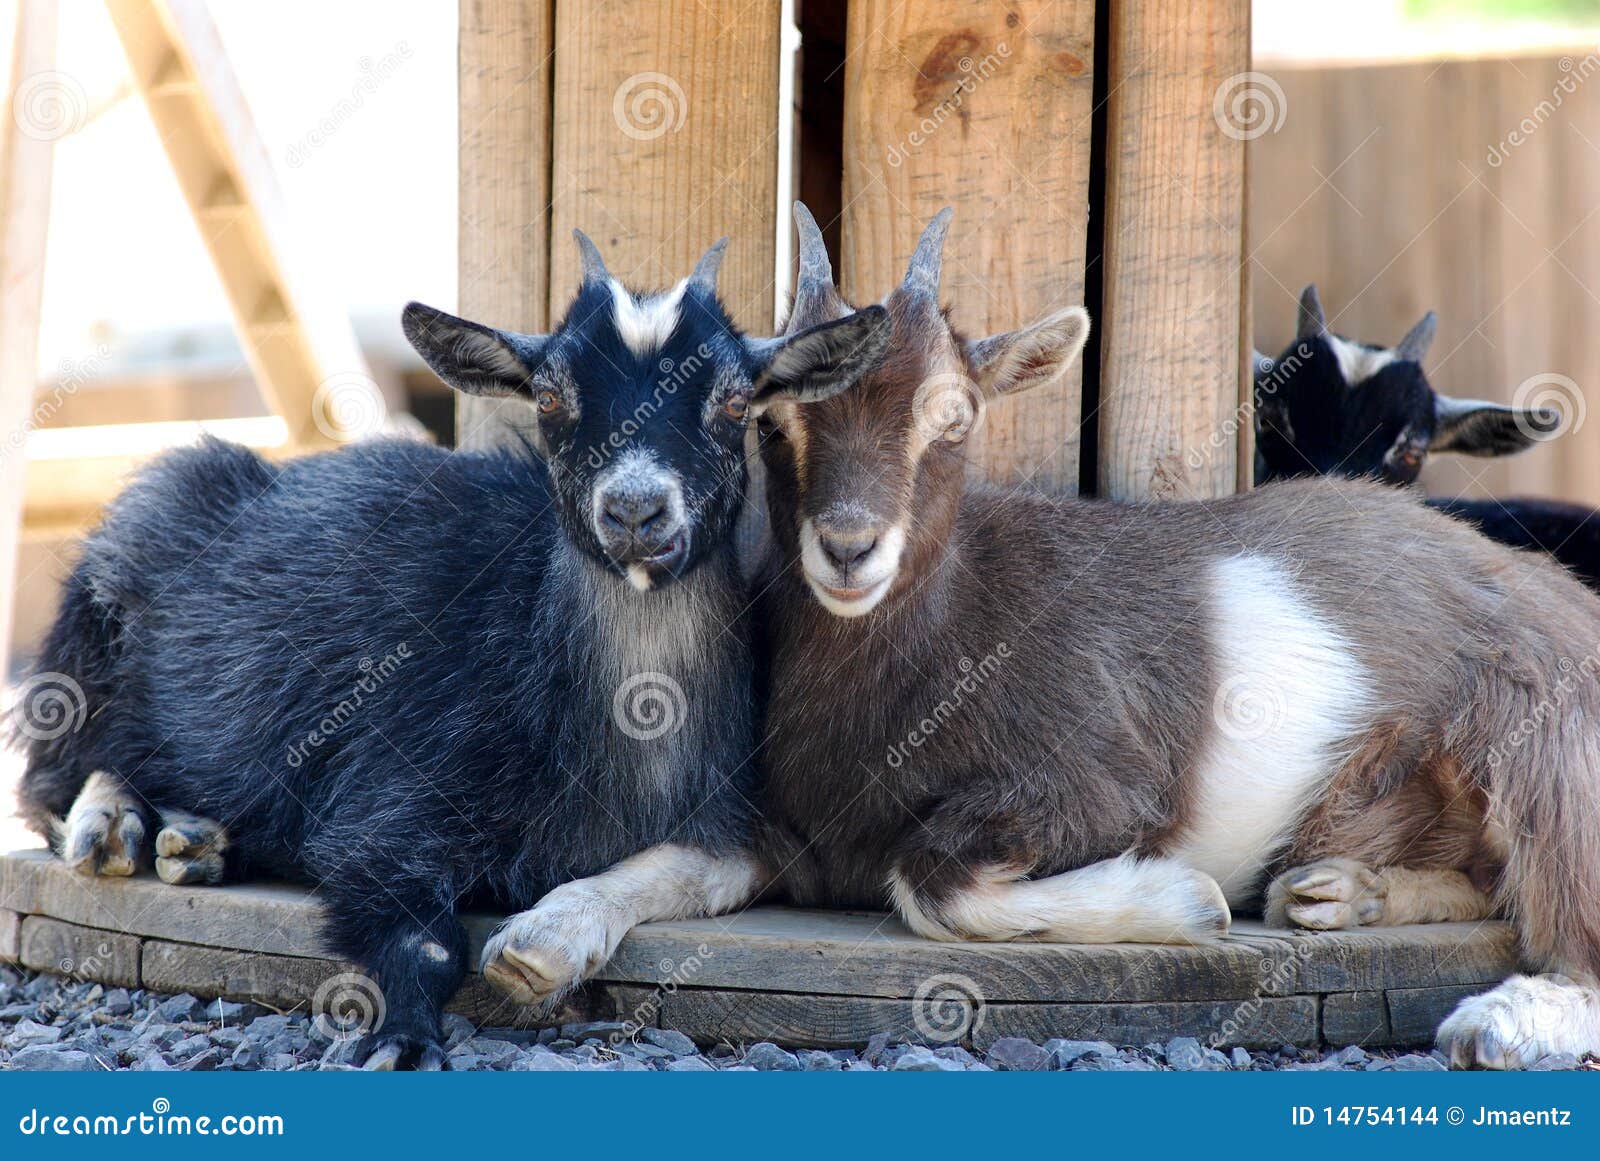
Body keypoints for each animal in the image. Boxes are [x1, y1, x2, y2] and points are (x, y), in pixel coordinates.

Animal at [13, 232, 891, 1069]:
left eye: (735, 399)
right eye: (550, 394)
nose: (636, 510)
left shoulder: (734, 807)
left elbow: (714, 869)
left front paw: (548, 939)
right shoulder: (391, 794)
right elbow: (427, 937)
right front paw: (403, 1040)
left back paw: (196, 842)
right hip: (96, 620)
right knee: (53, 772)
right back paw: (116, 825)